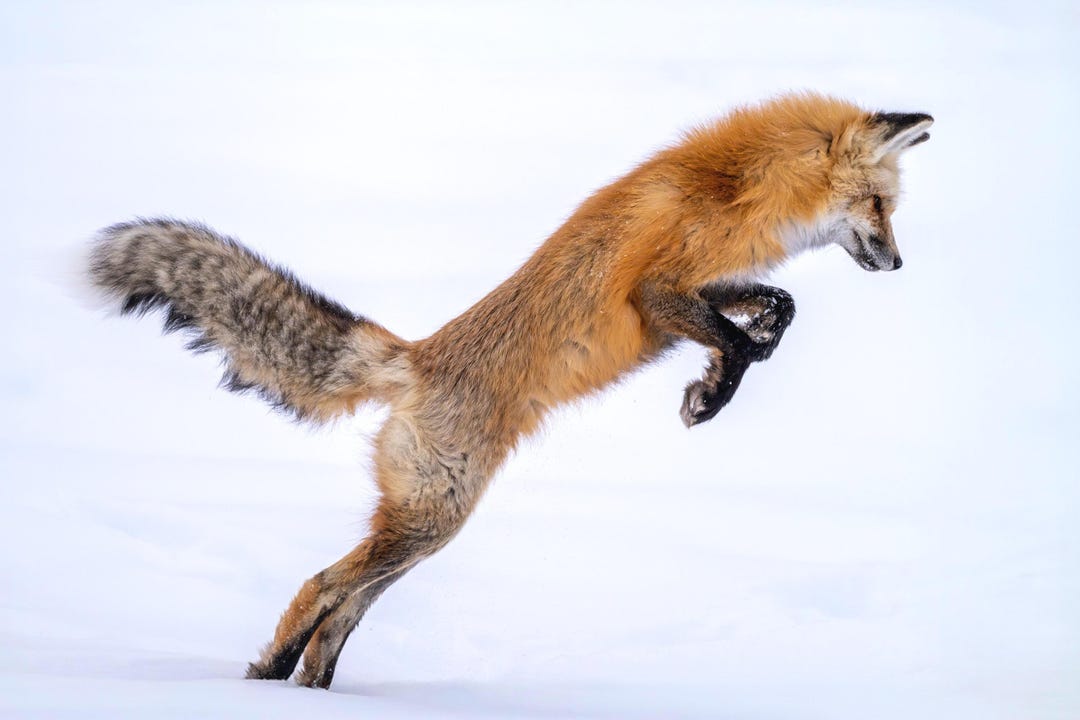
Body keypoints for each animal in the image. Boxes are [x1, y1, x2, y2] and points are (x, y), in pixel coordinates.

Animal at [87, 92, 932, 689]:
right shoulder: (656, 294)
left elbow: (779, 307)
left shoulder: (713, 282)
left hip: (431, 528)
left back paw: (309, 687)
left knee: (344, 610)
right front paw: (713, 392)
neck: (730, 188)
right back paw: (264, 676)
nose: (896, 265)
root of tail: (417, 358)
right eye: (881, 207)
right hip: (432, 516)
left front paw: (726, 372)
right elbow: (741, 337)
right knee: (321, 586)